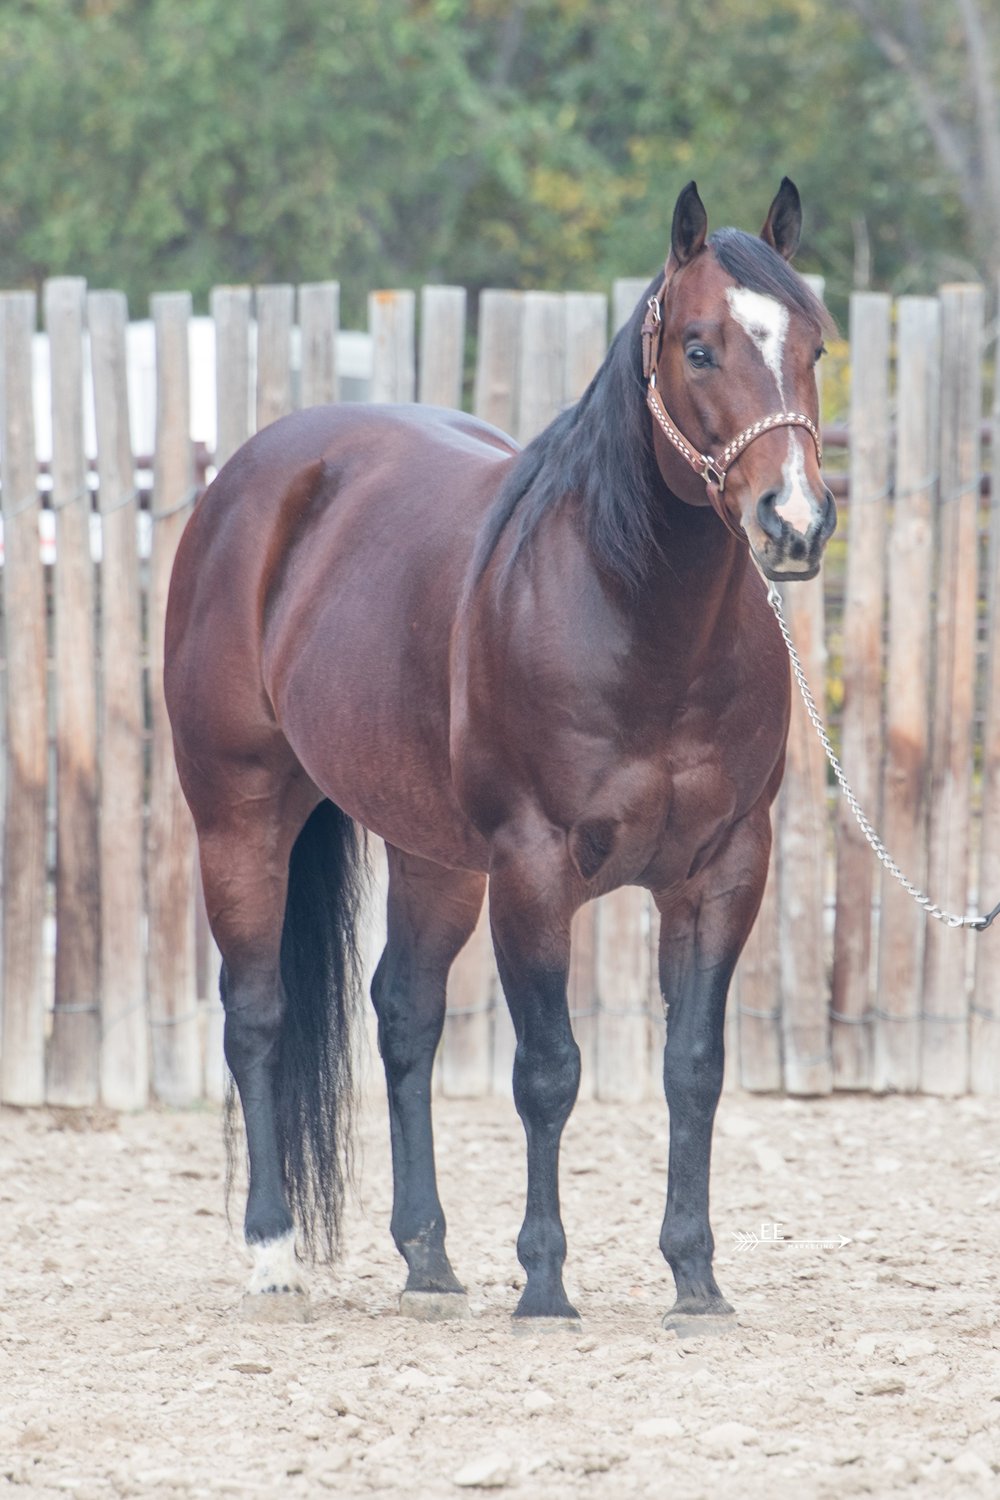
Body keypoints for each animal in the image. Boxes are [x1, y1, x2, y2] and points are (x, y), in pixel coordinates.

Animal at [165, 178, 835, 1333]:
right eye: (699, 346)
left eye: (815, 346)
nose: (792, 523)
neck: (637, 619)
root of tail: (254, 479)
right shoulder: (535, 867)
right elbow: (549, 1072)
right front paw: (546, 1280)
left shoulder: (723, 872)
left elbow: (693, 1068)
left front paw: (695, 1277)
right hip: (240, 816)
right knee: (255, 1018)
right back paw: (273, 1253)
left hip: (434, 856)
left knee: (403, 1017)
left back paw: (427, 1255)